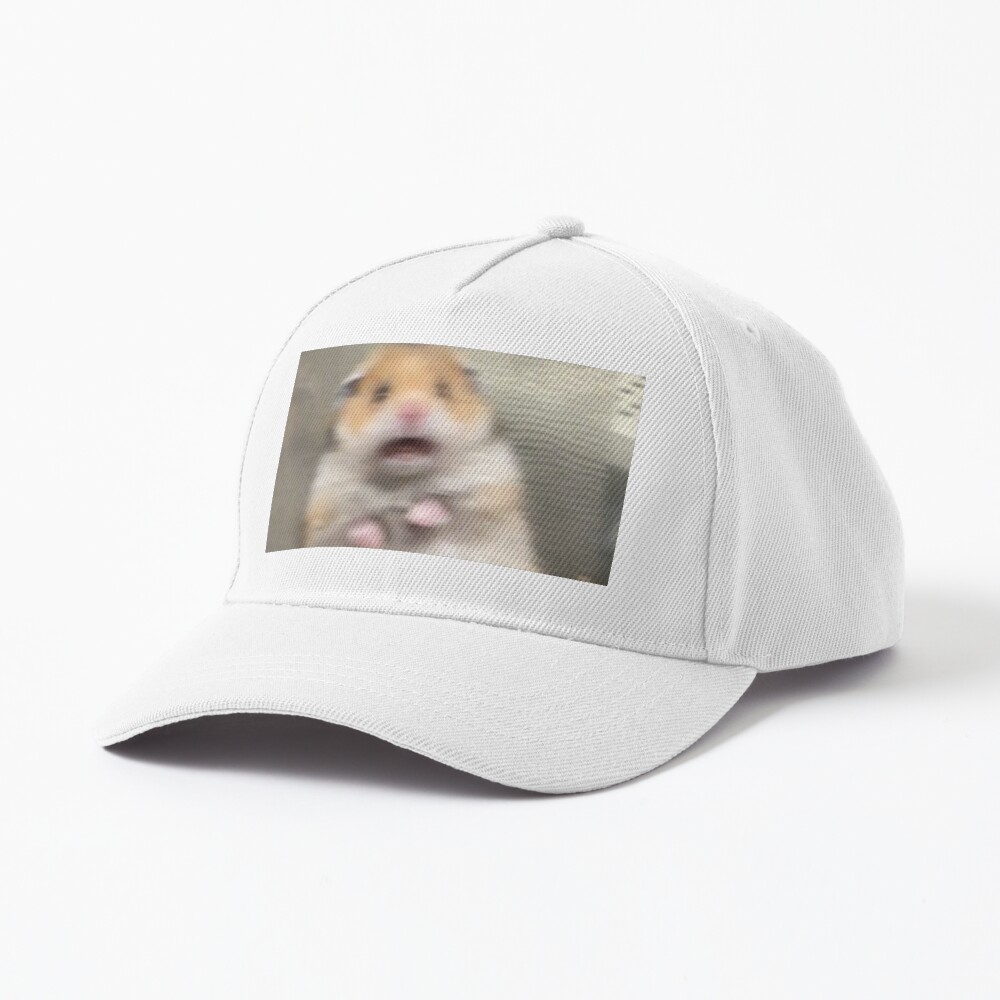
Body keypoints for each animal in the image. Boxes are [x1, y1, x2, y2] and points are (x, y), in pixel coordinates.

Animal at [303, 344, 540, 574]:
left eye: (443, 390)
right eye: (380, 393)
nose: (412, 411)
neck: (405, 481)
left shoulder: (494, 491)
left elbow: (449, 503)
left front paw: (417, 515)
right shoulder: (324, 510)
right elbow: (351, 526)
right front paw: (373, 535)